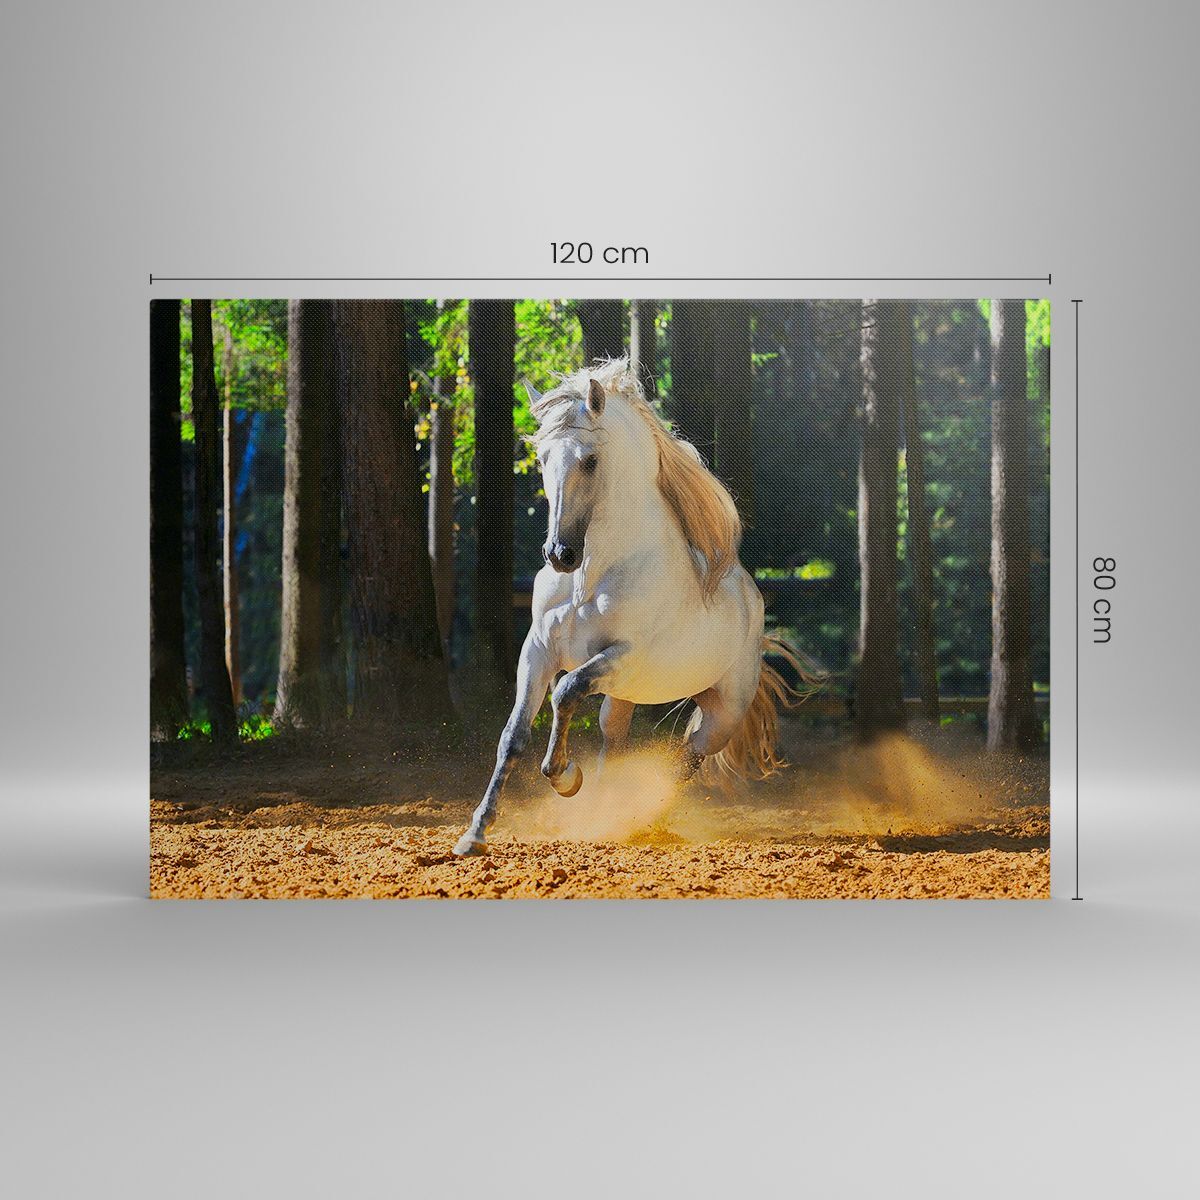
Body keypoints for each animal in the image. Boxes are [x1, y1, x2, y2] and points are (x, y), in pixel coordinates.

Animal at [453, 358, 810, 857]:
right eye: (542, 458)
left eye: (590, 460)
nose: (560, 555)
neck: (591, 577)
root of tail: (753, 603)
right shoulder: (537, 651)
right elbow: (513, 736)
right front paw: (475, 833)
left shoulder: (622, 656)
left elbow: (565, 694)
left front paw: (564, 777)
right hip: (624, 696)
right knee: (614, 739)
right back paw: (603, 814)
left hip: (722, 712)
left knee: (688, 756)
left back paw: (637, 818)